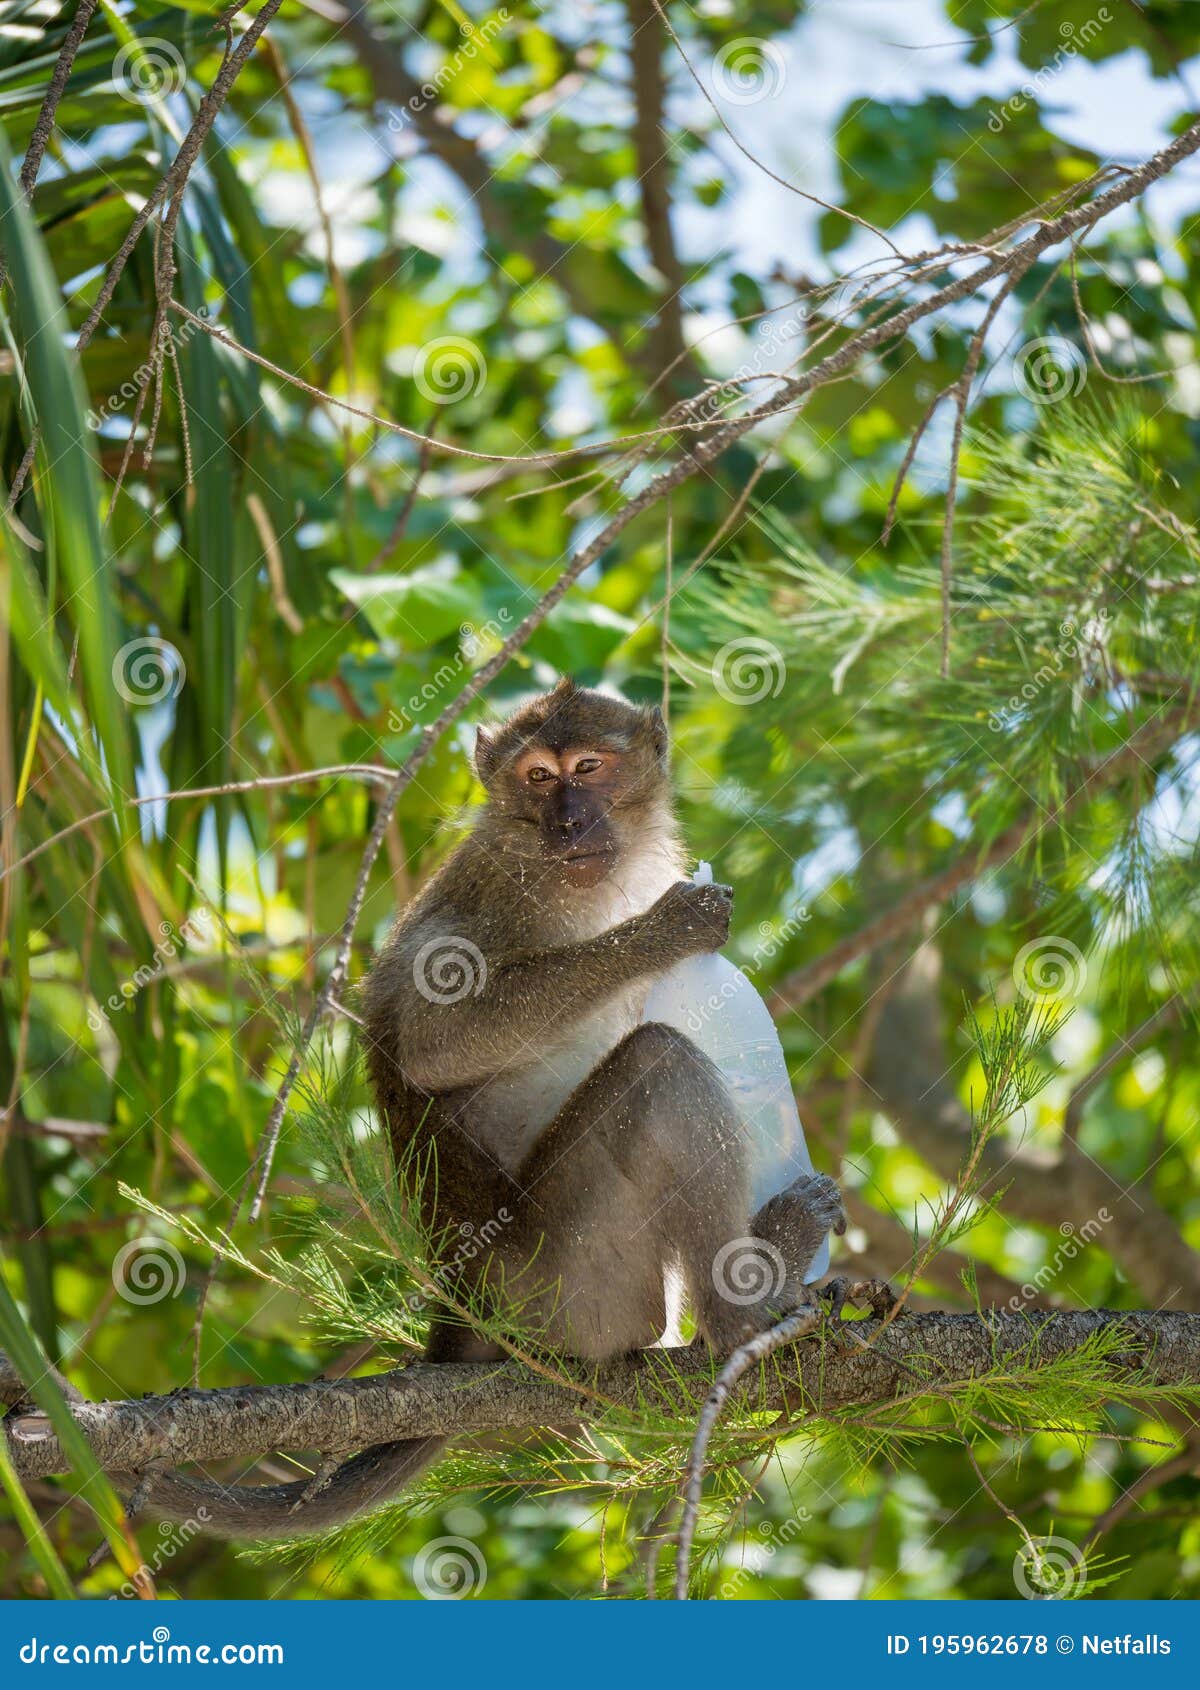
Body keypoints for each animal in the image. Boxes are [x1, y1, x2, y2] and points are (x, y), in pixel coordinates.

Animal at [137, 678, 844, 1538]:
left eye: (588, 767)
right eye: (537, 778)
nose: (569, 821)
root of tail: (467, 1311)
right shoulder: (500, 896)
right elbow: (436, 1044)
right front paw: (663, 932)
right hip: (569, 1286)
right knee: (660, 1065)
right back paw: (746, 1312)